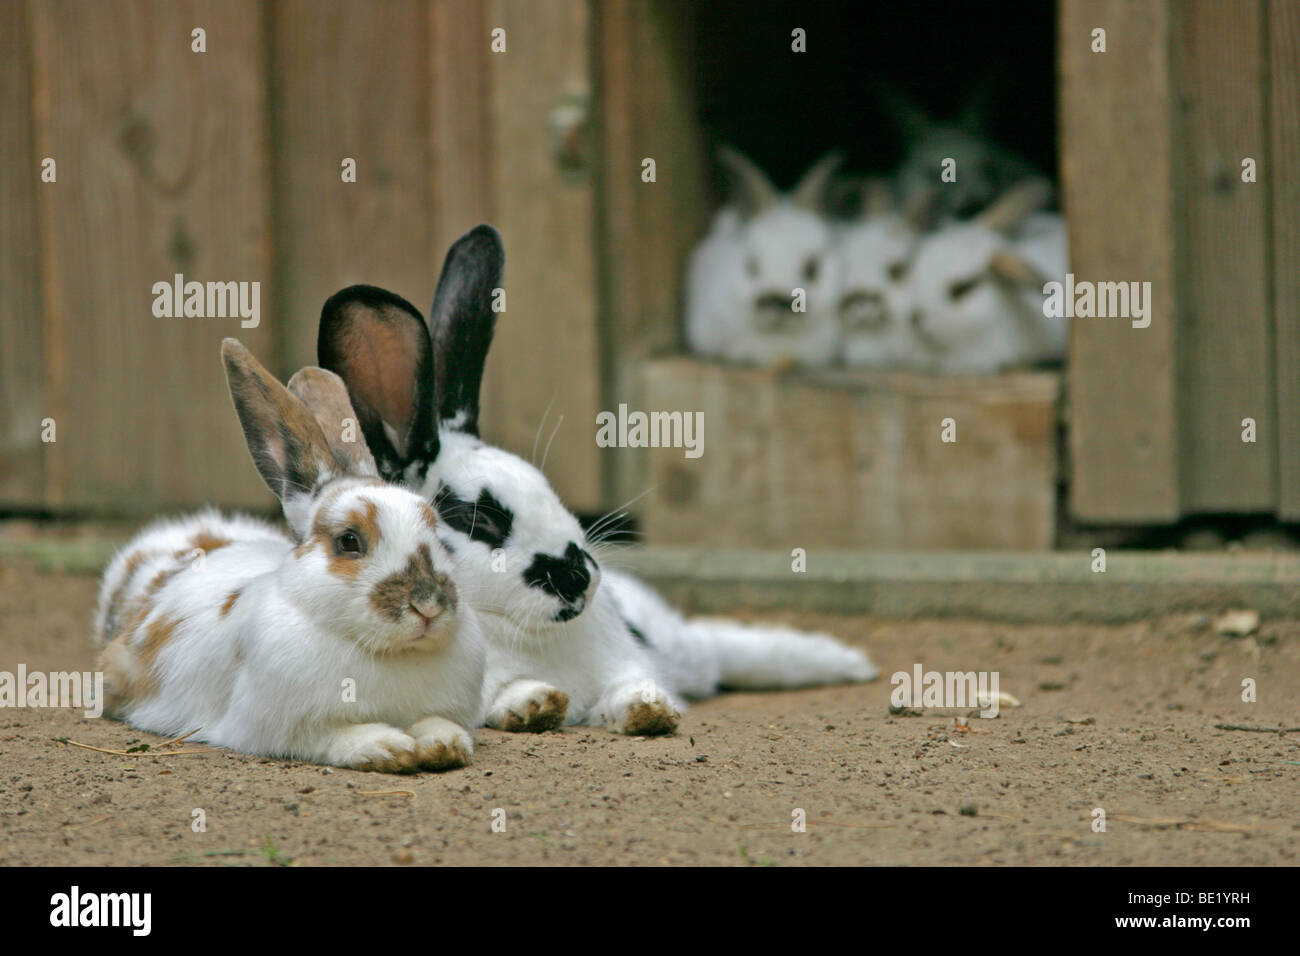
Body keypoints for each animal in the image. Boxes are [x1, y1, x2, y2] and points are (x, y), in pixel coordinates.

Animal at [92, 339, 486, 773]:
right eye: (349, 541)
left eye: (438, 534)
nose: (428, 605)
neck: (388, 652)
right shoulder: (282, 729)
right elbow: (335, 736)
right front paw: (388, 747)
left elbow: (439, 723)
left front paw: (445, 745)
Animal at [316, 225, 878, 737]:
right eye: (479, 519)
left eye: (545, 487)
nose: (578, 577)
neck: (529, 634)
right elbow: (503, 694)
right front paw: (534, 704)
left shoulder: (627, 660)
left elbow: (630, 686)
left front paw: (648, 708)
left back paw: (847, 661)